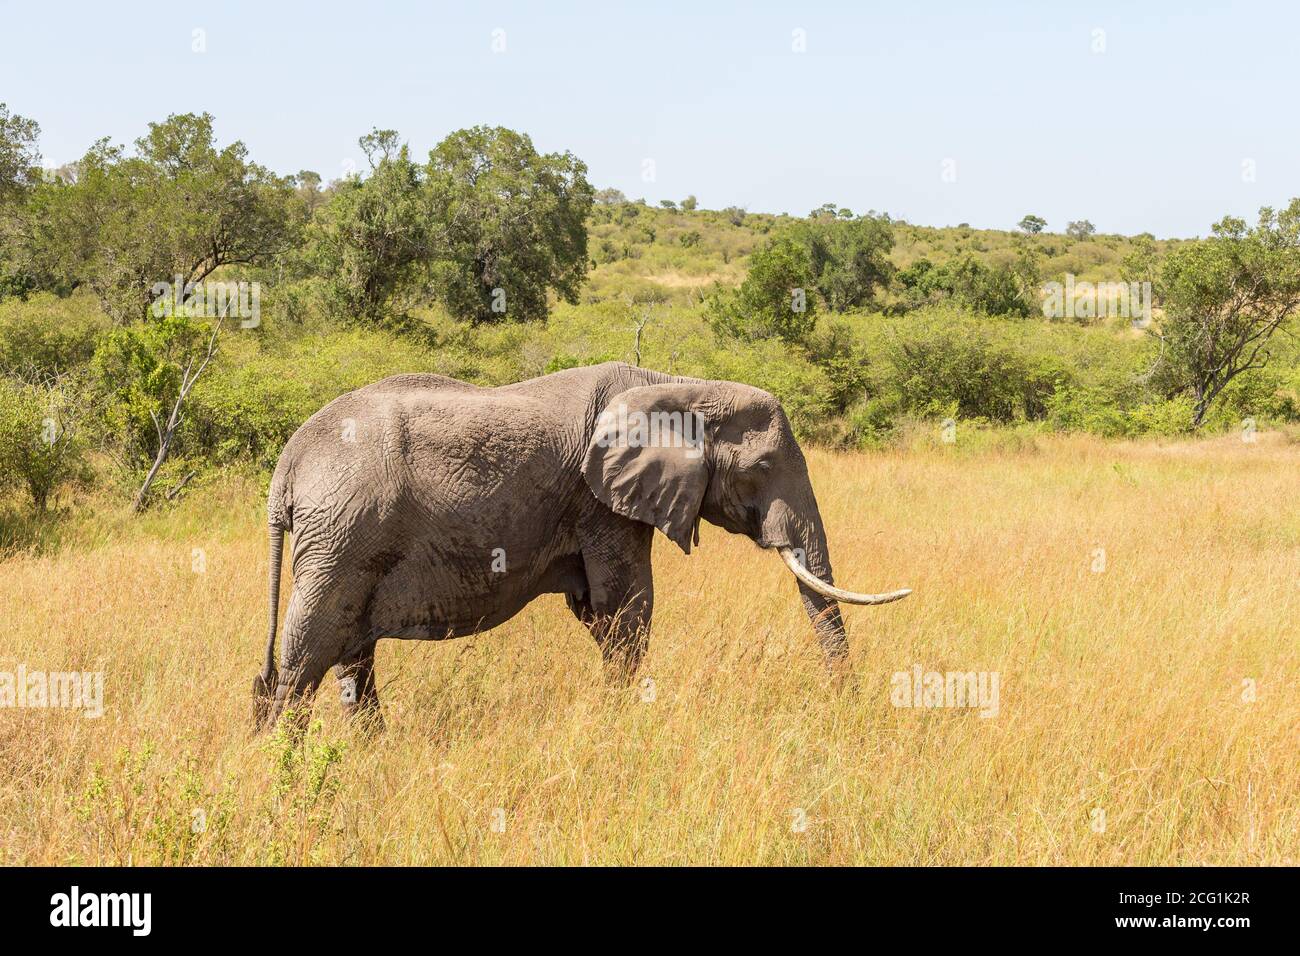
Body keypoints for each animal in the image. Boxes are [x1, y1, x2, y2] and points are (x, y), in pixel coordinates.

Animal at [251, 362, 910, 729]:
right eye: (764, 467)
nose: (846, 706)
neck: (679, 386)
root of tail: (288, 463)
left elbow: (597, 610)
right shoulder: (602, 503)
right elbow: (627, 607)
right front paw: (628, 721)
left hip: (344, 538)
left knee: (350, 655)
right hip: (343, 534)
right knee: (308, 653)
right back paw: (282, 763)